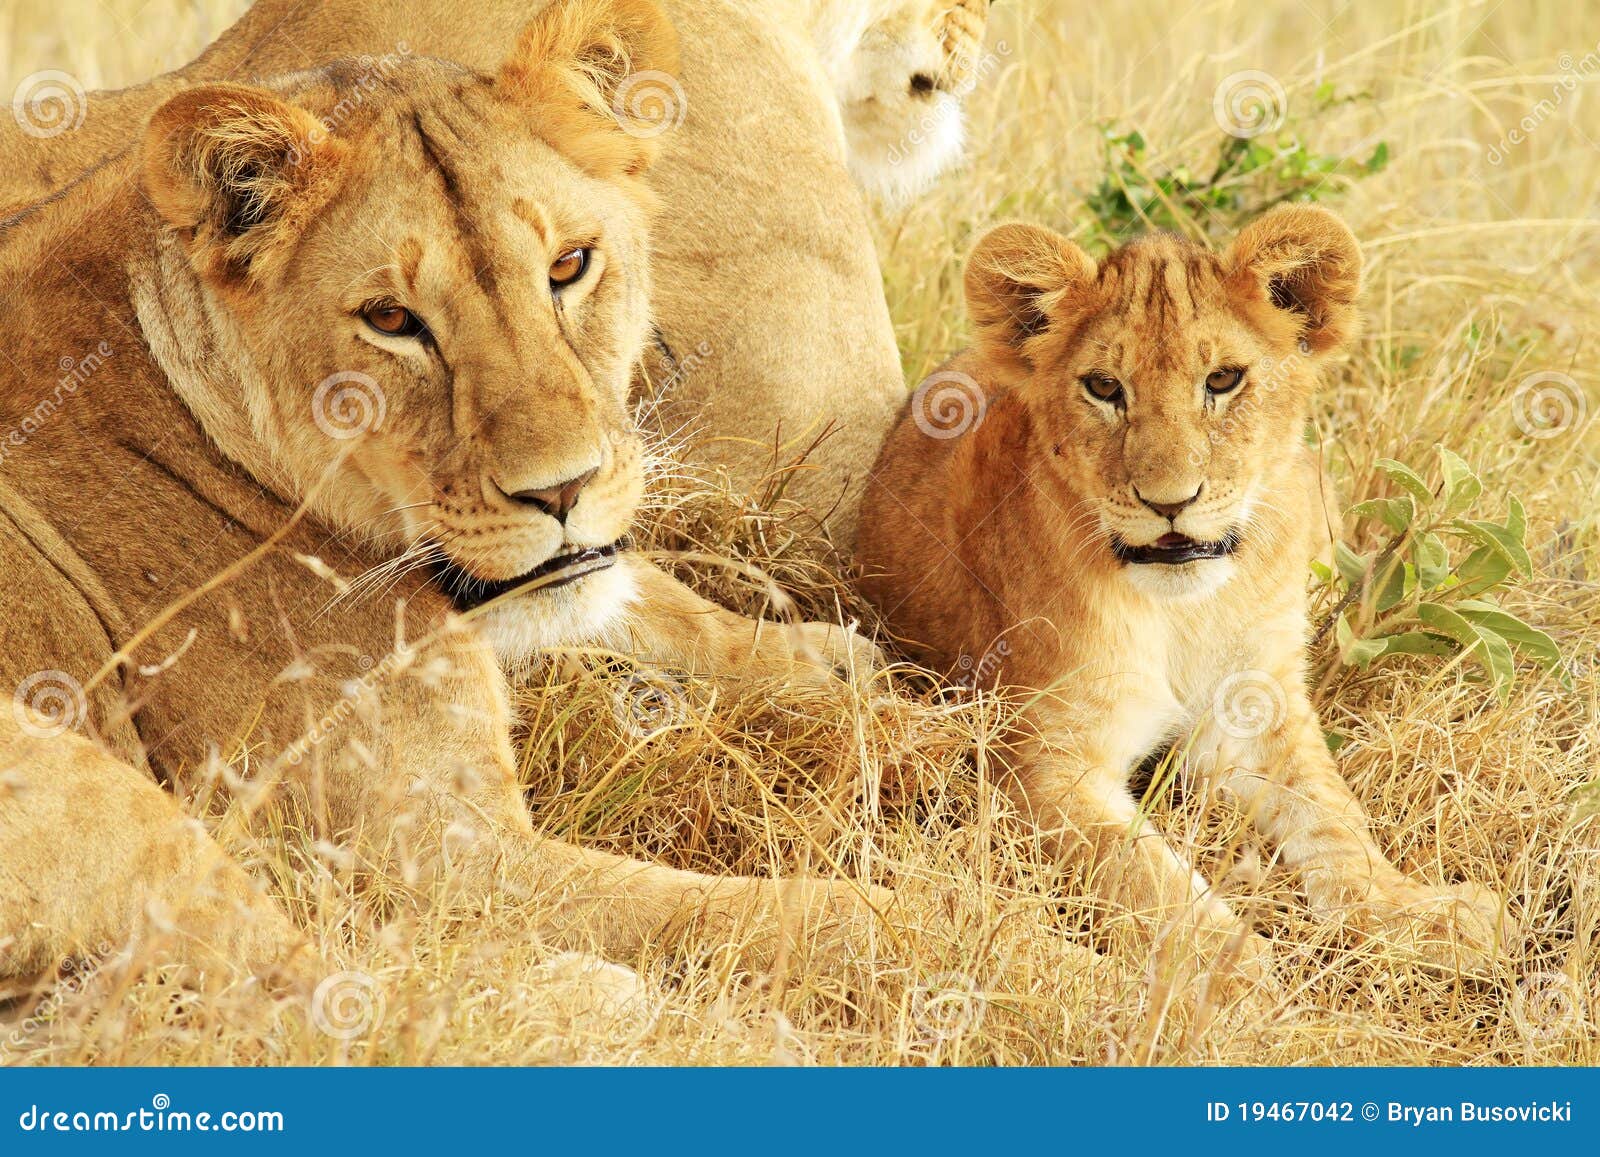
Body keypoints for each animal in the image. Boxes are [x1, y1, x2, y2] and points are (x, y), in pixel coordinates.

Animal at [0, 0, 892, 985]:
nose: (564, 489)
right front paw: (931, 922)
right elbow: (785, 916)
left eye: (570, 265)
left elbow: (661, 600)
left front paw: (840, 667)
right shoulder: (433, 855)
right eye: (391, 319)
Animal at [856, 207, 1510, 986]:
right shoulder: (1040, 762)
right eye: (1104, 387)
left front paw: (1417, 912)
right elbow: (1143, 872)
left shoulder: (1255, 708)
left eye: (1222, 379)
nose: (1170, 502)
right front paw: (1235, 977)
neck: (1185, 611)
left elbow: (1334, 817)